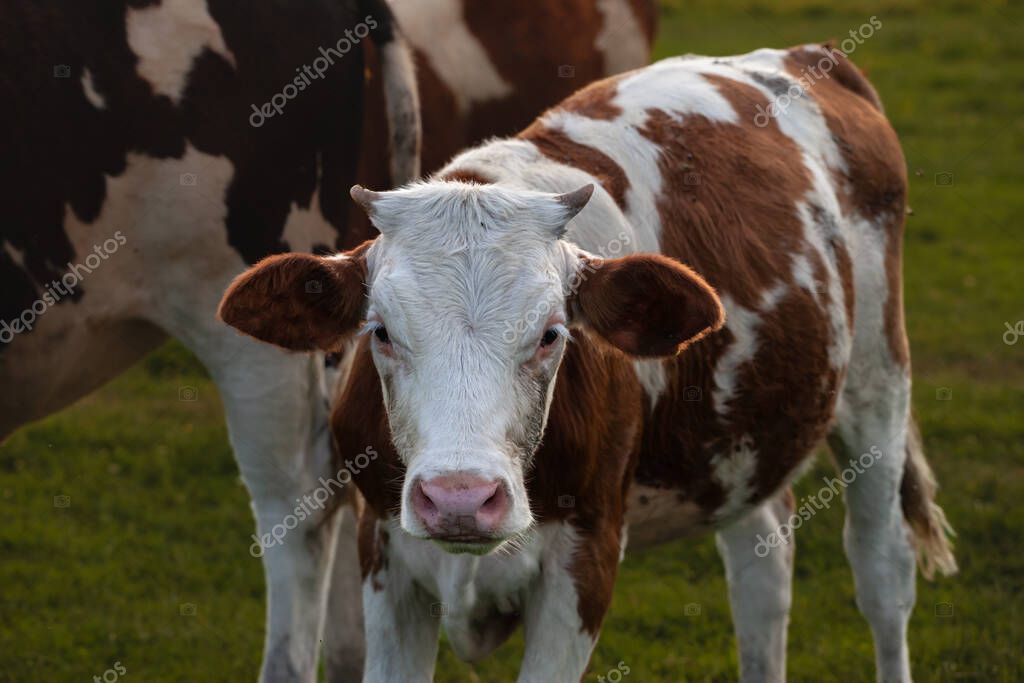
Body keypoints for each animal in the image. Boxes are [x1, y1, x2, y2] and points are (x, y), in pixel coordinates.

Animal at [220, 44, 958, 682]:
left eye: (552, 334)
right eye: (380, 331)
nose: (460, 497)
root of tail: (803, 56)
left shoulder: (586, 562)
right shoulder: (384, 552)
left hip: (877, 385)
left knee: (883, 571)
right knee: (763, 564)